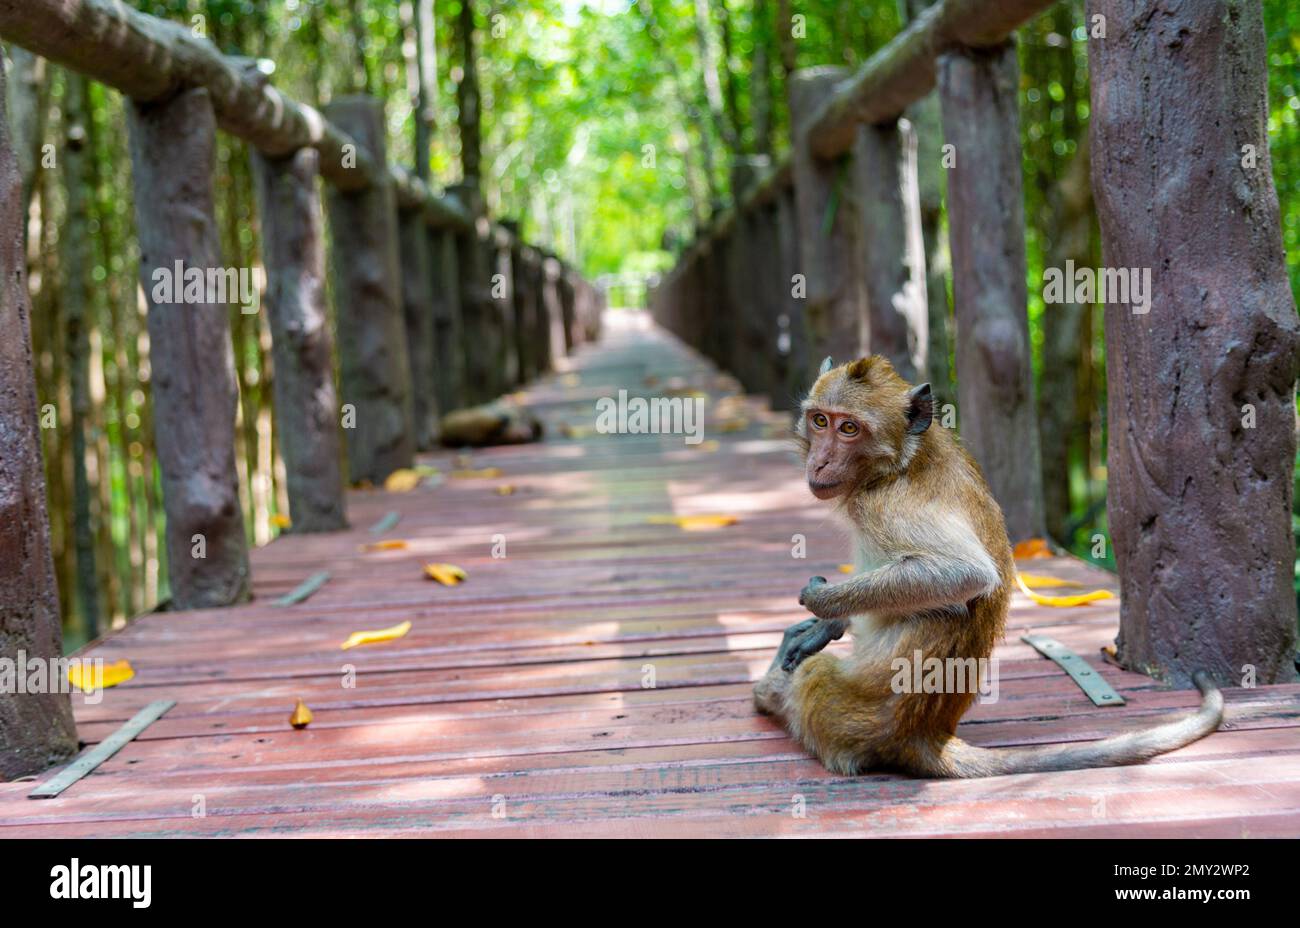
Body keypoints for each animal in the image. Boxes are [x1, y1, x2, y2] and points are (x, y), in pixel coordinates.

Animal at [753, 355, 1223, 777]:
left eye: (848, 428)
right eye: (820, 421)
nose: (820, 461)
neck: (900, 462)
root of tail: (921, 735)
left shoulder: (886, 506)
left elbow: (966, 574)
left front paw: (821, 604)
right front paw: (825, 626)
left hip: (842, 714)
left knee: (816, 674)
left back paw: (771, 689)